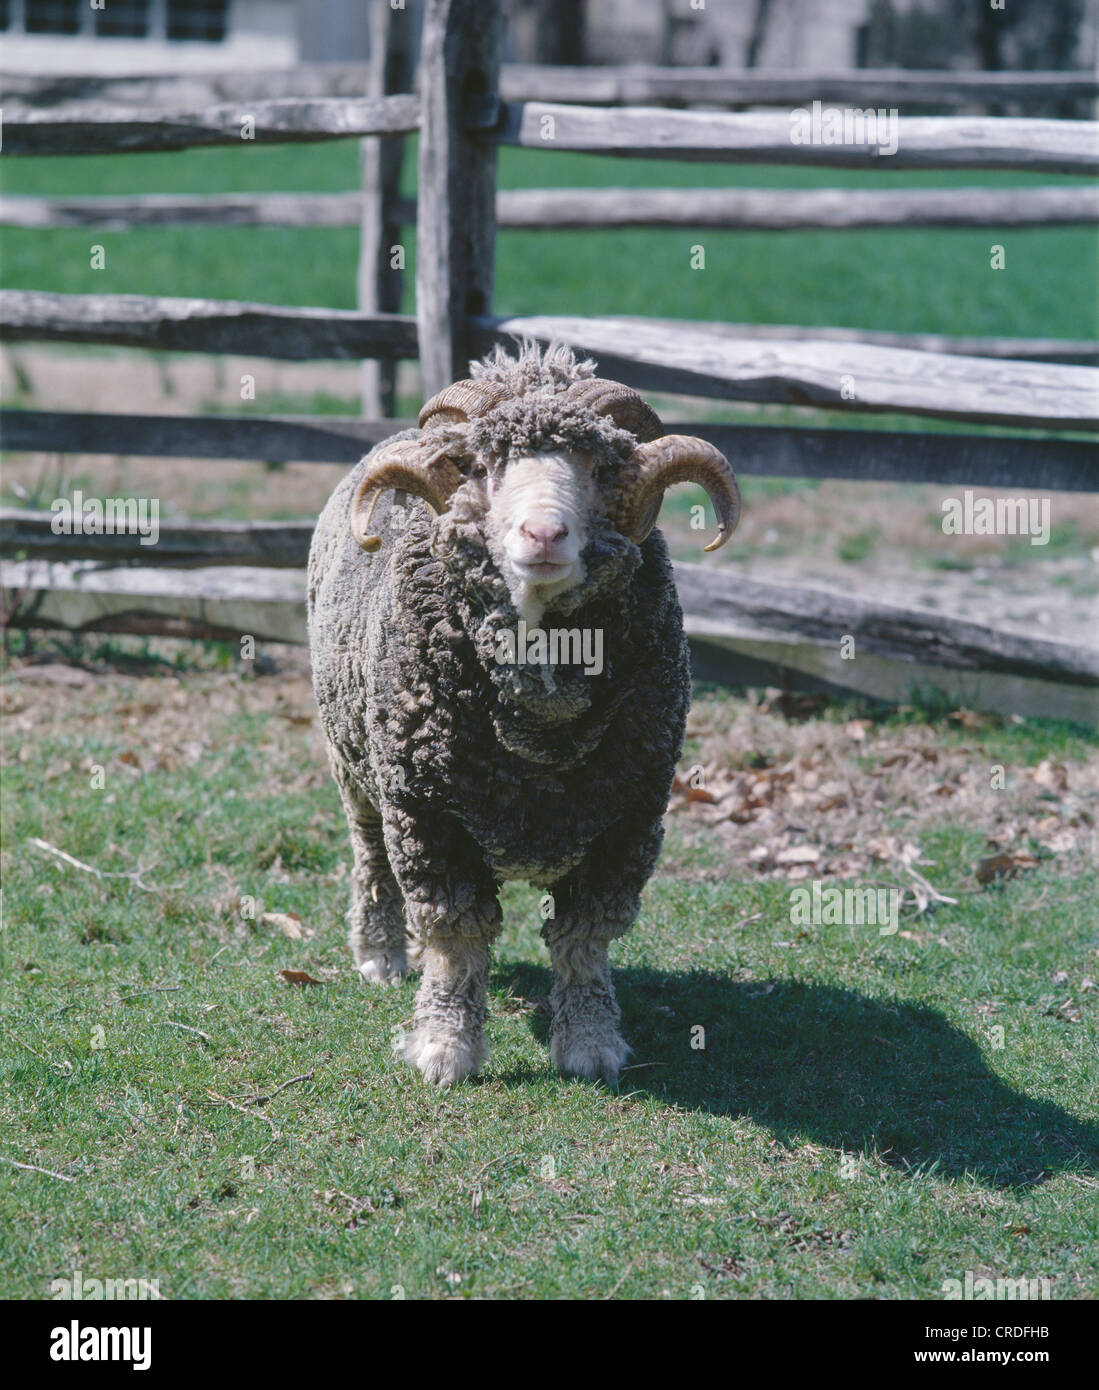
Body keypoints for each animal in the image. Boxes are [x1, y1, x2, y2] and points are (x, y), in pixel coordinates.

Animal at [307, 342, 739, 1085]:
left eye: (600, 467)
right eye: (481, 467)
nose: (543, 532)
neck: (540, 734)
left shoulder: (630, 817)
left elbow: (584, 937)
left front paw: (590, 1043)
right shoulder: (427, 813)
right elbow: (456, 934)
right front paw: (443, 1047)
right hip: (356, 765)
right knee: (372, 859)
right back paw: (383, 953)